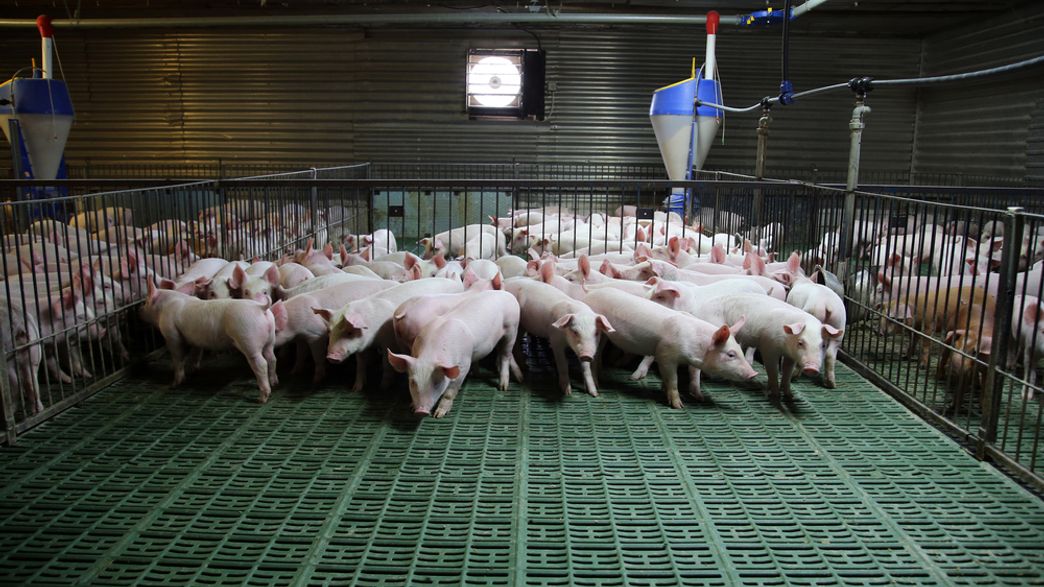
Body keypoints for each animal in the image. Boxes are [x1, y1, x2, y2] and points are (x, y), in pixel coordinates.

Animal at [144, 279, 286, 403]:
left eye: (145, 302)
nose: (140, 312)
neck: (166, 305)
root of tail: (261, 308)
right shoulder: (195, 339)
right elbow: (196, 353)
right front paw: (194, 369)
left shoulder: (171, 332)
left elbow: (177, 357)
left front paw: (174, 384)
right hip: (270, 340)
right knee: (272, 358)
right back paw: (275, 382)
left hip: (249, 340)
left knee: (261, 363)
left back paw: (262, 399)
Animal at [315, 278, 466, 392]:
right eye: (329, 331)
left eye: (349, 332)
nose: (331, 356)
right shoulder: (360, 348)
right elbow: (360, 364)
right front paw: (356, 389)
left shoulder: (388, 339)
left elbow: (386, 363)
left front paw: (383, 388)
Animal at [387, 290, 523, 417]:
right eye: (413, 382)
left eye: (437, 383)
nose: (421, 411)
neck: (430, 352)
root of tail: (507, 294)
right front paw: (411, 407)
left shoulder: (463, 364)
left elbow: (451, 390)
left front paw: (439, 415)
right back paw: (478, 374)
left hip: (512, 328)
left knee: (505, 355)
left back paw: (503, 387)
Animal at [583, 287, 757, 408]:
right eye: (731, 354)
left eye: (739, 350)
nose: (753, 374)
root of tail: (590, 293)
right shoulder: (666, 354)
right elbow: (673, 379)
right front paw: (679, 406)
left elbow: (694, 375)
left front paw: (699, 397)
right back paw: (598, 385)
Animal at [691, 293, 839, 401]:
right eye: (801, 342)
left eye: (823, 345)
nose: (812, 368)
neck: (785, 342)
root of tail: (699, 311)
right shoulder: (768, 345)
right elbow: (772, 370)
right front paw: (775, 396)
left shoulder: (790, 355)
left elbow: (787, 372)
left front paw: (789, 396)